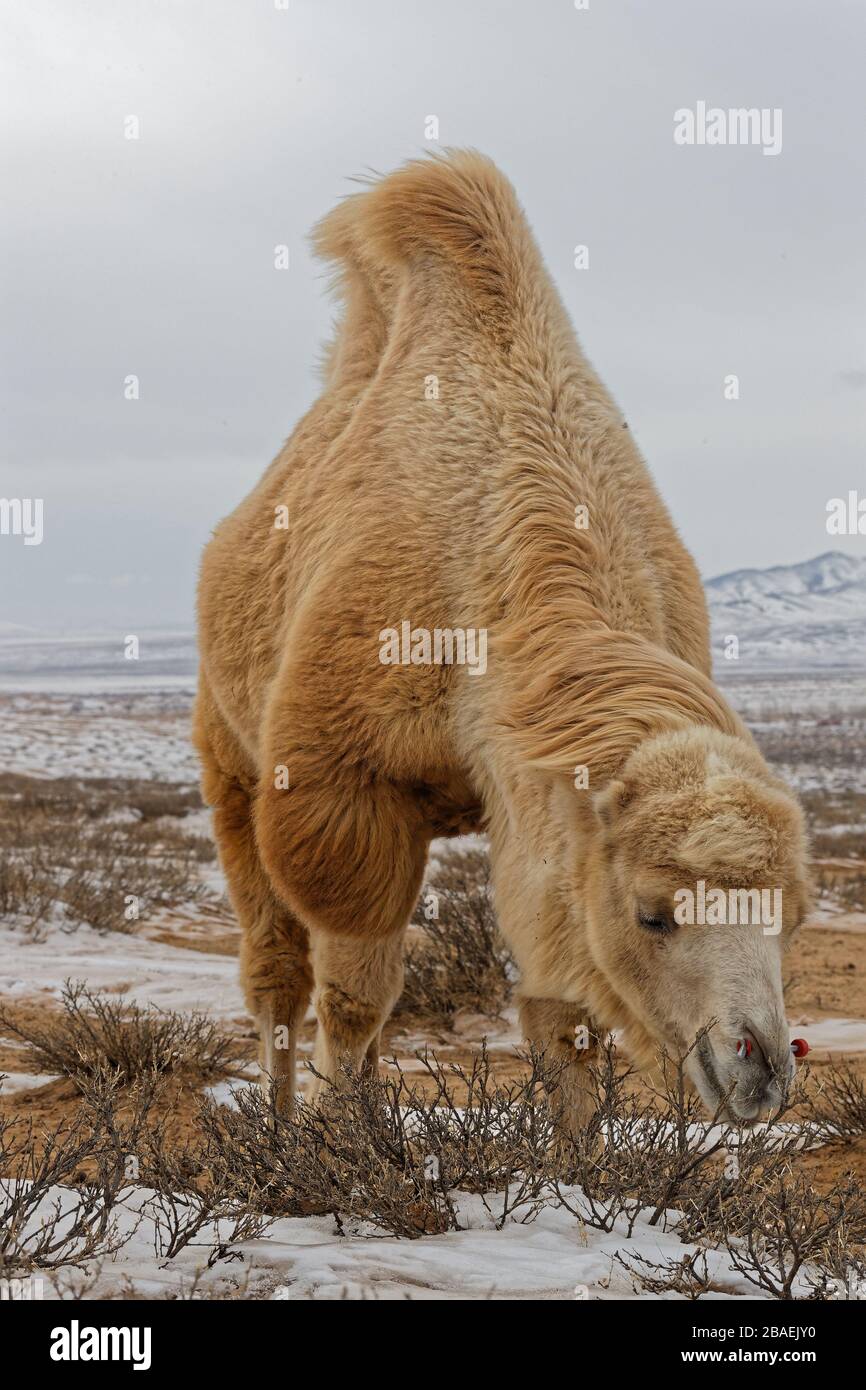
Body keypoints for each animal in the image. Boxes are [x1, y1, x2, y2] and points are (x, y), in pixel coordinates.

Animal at [194, 151, 812, 1129]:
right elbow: (357, 993)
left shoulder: (542, 802)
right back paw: (287, 1123)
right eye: (654, 913)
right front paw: (335, 1150)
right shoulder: (341, 787)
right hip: (228, 751)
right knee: (277, 976)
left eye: (792, 916)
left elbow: (563, 1015)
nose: (759, 1070)